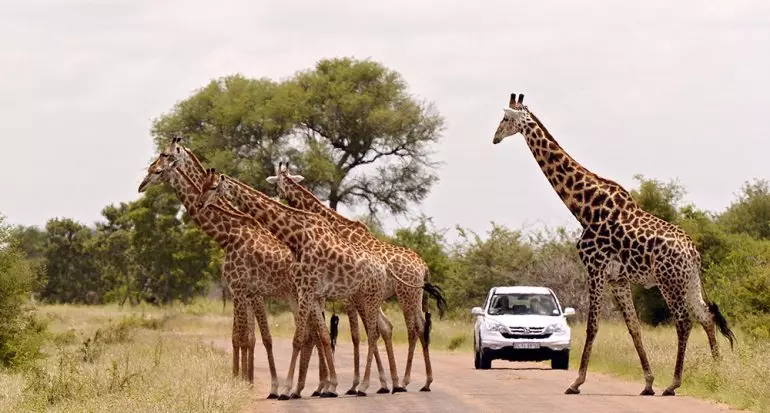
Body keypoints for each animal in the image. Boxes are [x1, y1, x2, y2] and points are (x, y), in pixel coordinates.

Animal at [138, 140, 328, 398]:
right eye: (151, 167)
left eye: (159, 168)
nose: (141, 186)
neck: (228, 233)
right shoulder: (243, 291)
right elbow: (244, 336)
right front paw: (245, 379)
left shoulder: (245, 290)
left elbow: (251, 337)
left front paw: (250, 382)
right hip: (300, 296)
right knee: (315, 334)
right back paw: (312, 386)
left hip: (305, 295)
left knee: (316, 333)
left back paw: (318, 386)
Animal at [195, 167, 402, 400]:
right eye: (202, 185)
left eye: (214, 187)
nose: (199, 204)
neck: (297, 236)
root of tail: (383, 268)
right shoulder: (310, 292)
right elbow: (321, 335)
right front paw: (327, 386)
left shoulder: (305, 289)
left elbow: (298, 338)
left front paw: (286, 390)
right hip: (362, 297)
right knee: (379, 329)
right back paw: (380, 384)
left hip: (370, 298)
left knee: (374, 333)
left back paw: (367, 385)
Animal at [266, 162, 448, 392]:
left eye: (278, 183)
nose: (277, 196)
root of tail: (423, 267)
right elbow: (368, 331)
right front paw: (374, 382)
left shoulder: (348, 296)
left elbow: (356, 335)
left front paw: (353, 384)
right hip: (415, 297)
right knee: (421, 327)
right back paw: (423, 381)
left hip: (406, 295)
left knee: (412, 329)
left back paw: (406, 380)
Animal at [488, 93, 736, 396]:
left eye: (505, 118)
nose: (495, 138)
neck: (584, 208)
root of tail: (693, 252)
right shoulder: (618, 278)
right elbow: (633, 327)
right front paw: (648, 382)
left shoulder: (595, 268)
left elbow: (592, 326)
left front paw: (576, 382)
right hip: (689, 280)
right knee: (706, 316)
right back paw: (717, 373)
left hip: (669, 281)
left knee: (684, 320)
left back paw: (674, 383)